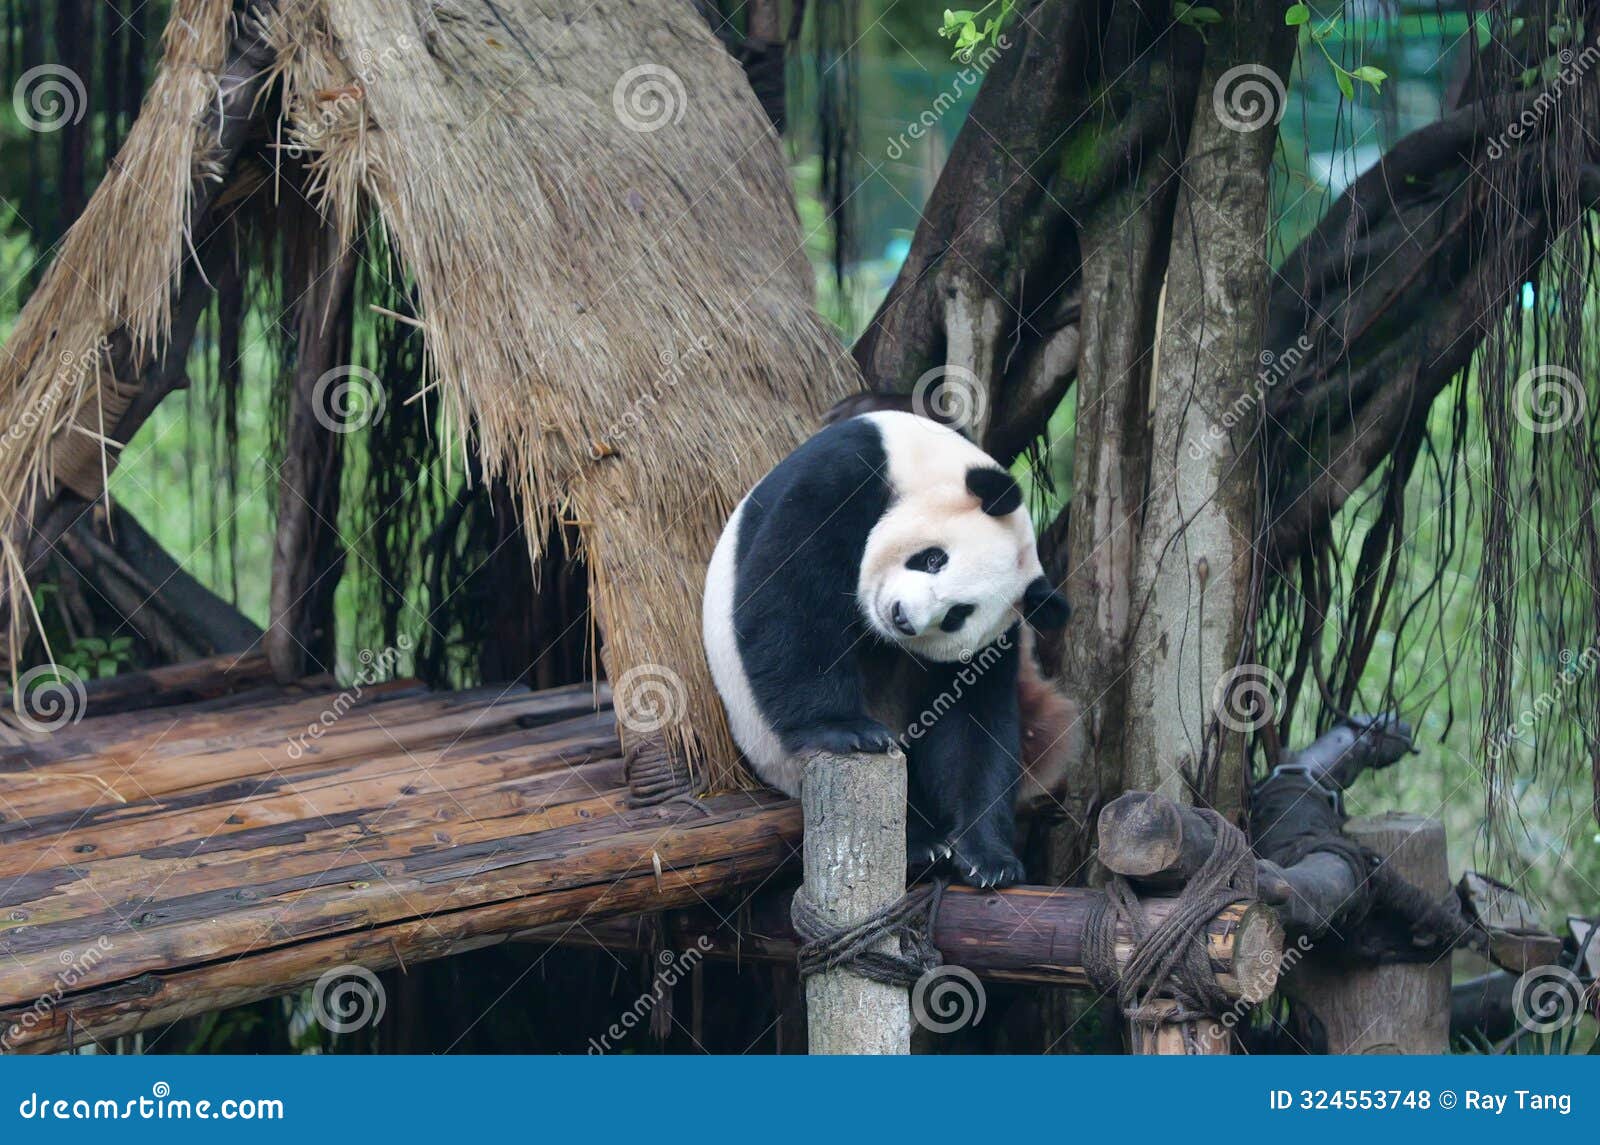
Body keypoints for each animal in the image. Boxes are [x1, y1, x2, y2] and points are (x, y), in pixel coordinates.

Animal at [701, 409, 1072, 888]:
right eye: (933, 559)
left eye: (958, 615)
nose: (902, 616)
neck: (920, 460)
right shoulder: (843, 476)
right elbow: (790, 597)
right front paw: (847, 730)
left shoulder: (998, 640)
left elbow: (974, 719)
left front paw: (988, 859)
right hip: (772, 752)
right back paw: (919, 841)